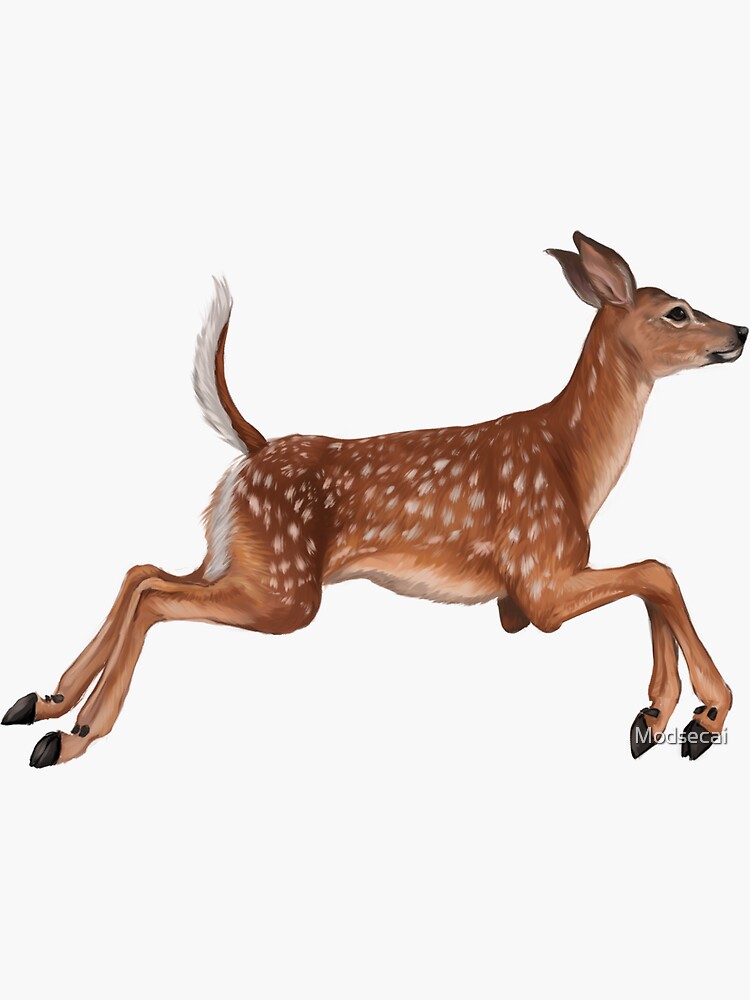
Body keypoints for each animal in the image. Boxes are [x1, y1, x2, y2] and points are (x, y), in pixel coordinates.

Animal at [3, 233, 745, 767]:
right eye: (676, 311)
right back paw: (71, 735)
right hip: (286, 588)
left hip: (237, 557)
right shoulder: (538, 582)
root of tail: (253, 452)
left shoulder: (520, 602)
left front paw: (654, 717)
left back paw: (42, 702)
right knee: (156, 595)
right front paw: (703, 715)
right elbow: (657, 572)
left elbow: (651, 581)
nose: (738, 332)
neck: (571, 463)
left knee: (141, 571)